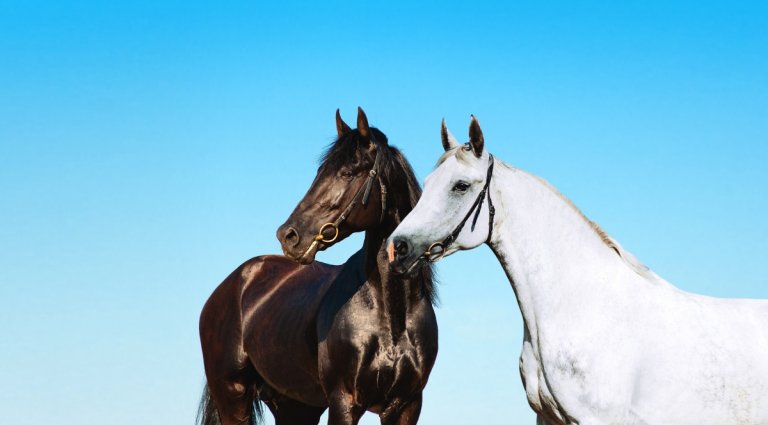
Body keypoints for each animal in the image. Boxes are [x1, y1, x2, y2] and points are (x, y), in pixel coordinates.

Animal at [198, 107, 438, 425]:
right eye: (320, 173)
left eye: (347, 173)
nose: (288, 235)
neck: (390, 312)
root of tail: (233, 283)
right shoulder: (344, 400)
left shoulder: (407, 405)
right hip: (232, 395)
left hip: (295, 406)